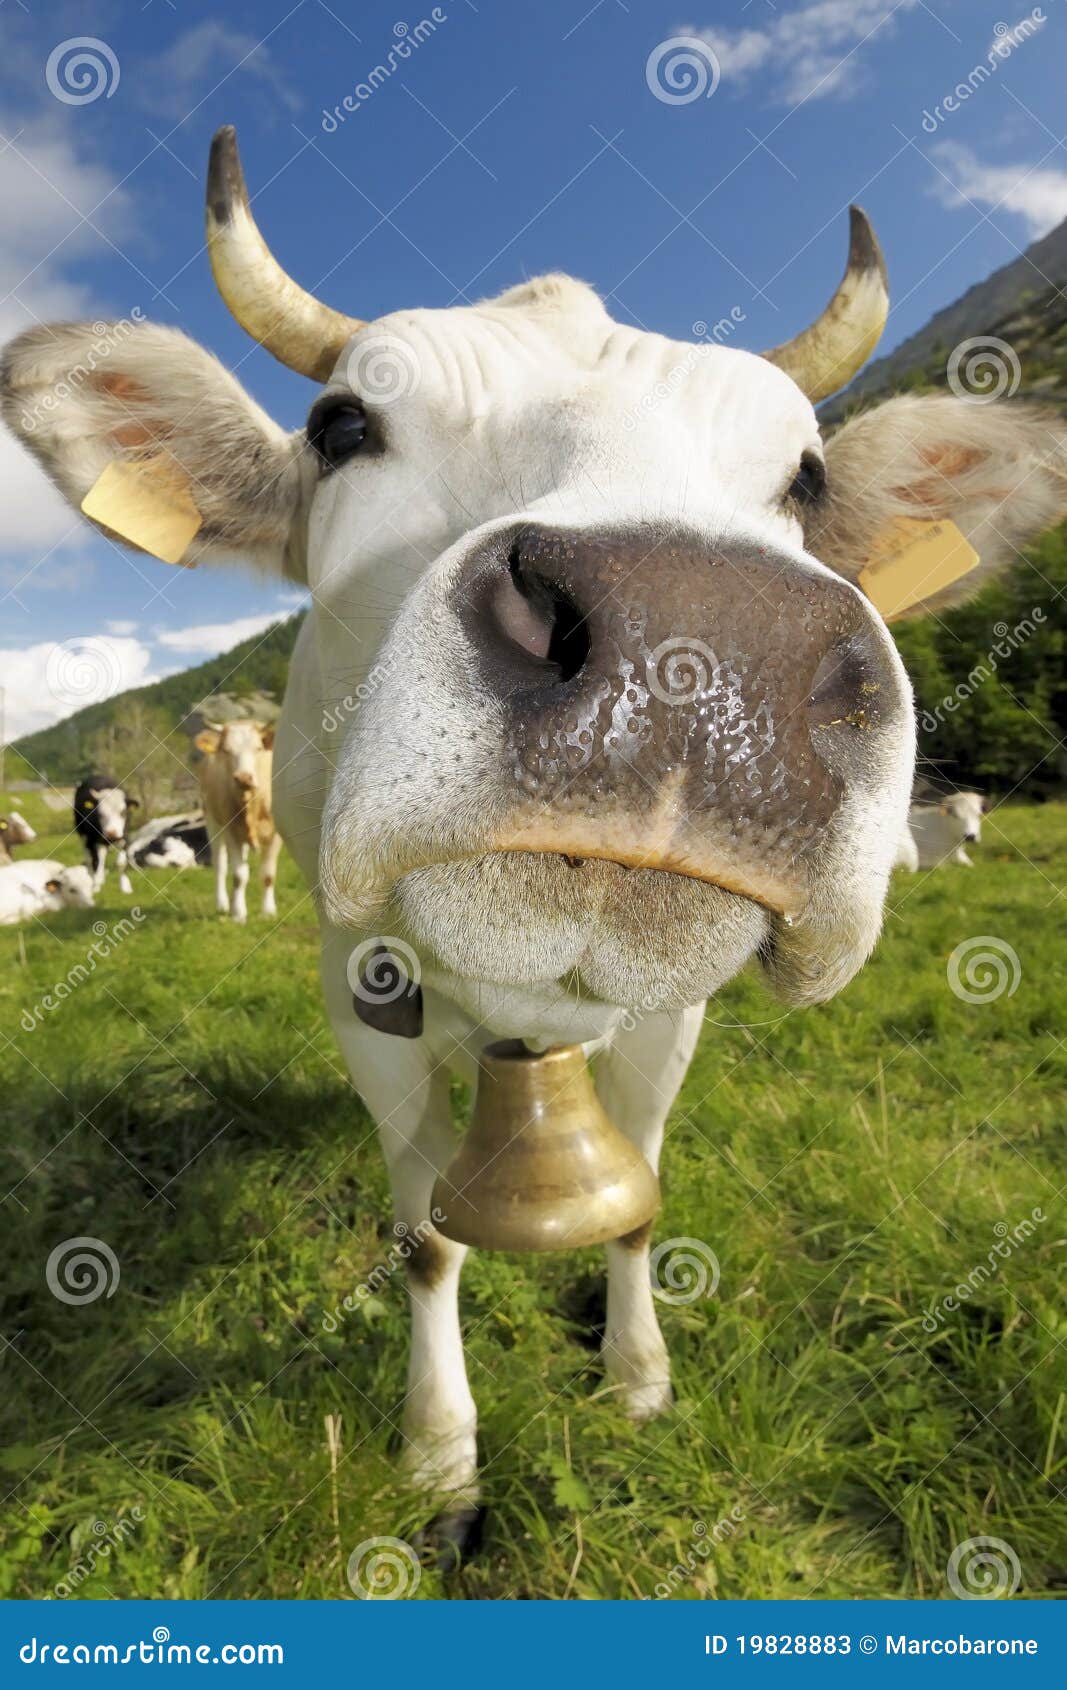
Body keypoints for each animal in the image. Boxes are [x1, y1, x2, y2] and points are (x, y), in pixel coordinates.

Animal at [195, 722, 281, 921]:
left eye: (258, 748)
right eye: (227, 750)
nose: (243, 778)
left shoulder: (276, 834)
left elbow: (268, 875)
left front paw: (268, 912)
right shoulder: (230, 831)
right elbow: (239, 875)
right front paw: (239, 914)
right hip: (212, 820)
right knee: (220, 865)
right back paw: (223, 904)